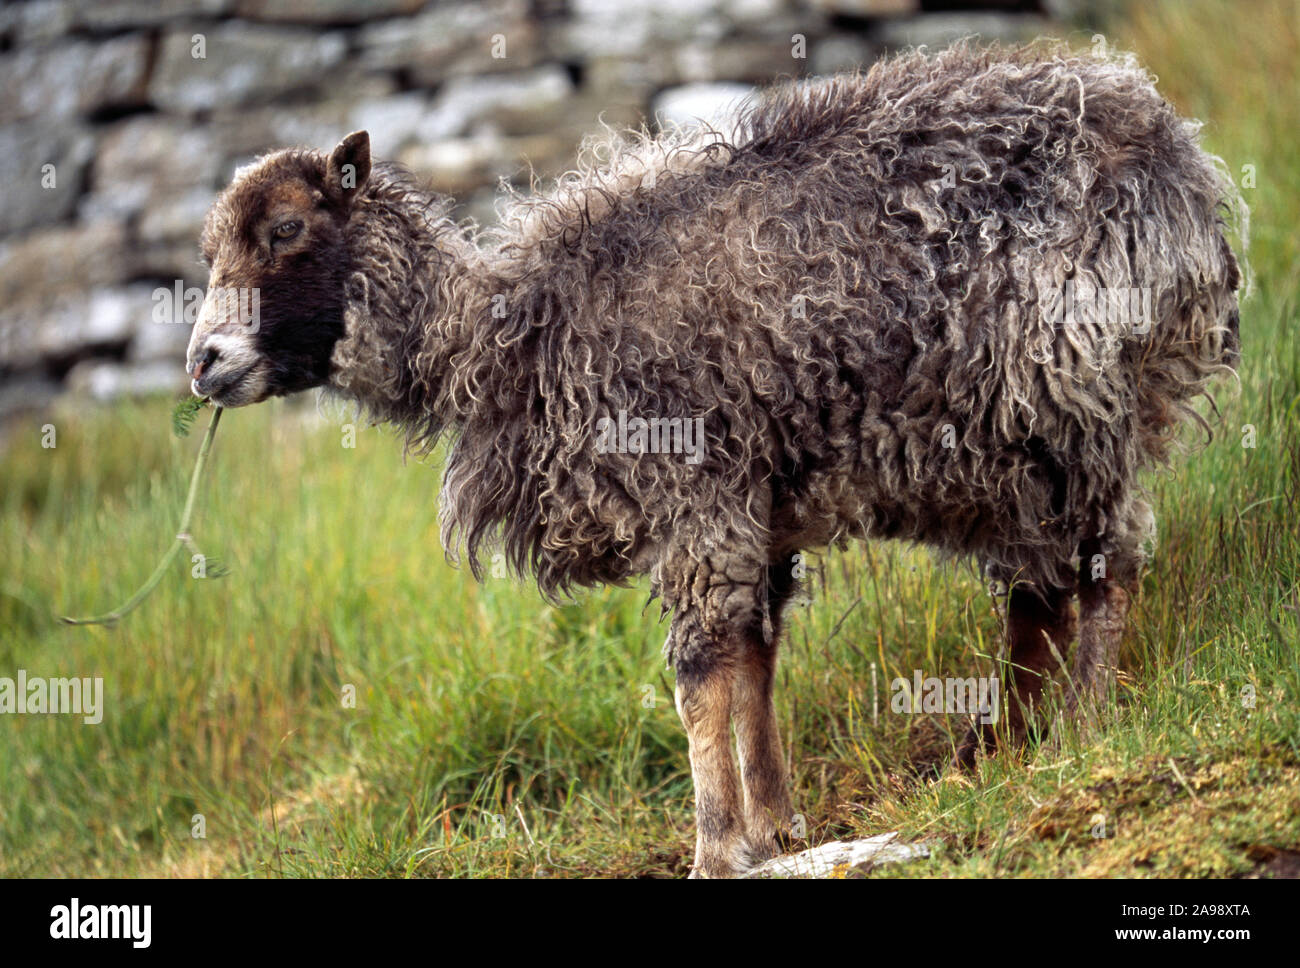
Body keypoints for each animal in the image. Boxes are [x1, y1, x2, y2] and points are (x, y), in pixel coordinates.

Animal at [185, 43, 1248, 878]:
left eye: (285, 229)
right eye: (209, 251)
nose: (201, 361)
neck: (504, 337)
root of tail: (1179, 161)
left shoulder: (693, 495)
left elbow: (701, 672)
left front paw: (716, 848)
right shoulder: (752, 510)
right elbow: (756, 656)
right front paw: (775, 825)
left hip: (1073, 391)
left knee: (1109, 559)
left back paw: (1084, 730)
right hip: (1016, 443)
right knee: (1038, 587)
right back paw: (1009, 751)